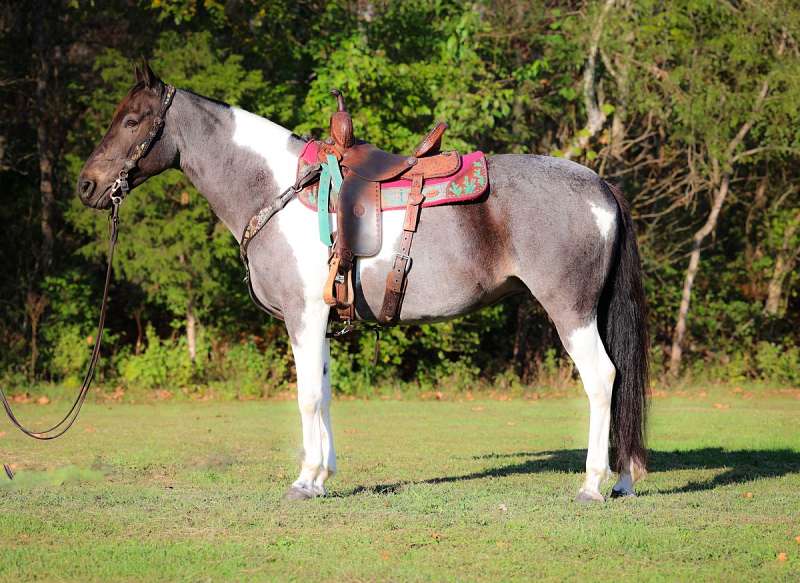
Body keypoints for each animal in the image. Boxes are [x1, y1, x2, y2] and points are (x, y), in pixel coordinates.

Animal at [77, 64, 649, 502]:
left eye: (132, 120)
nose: (87, 185)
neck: (276, 187)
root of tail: (599, 185)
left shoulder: (304, 315)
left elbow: (307, 396)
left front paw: (305, 481)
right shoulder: (323, 319)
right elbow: (325, 393)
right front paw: (322, 476)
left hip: (571, 313)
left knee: (603, 379)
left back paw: (593, 485)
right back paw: (622, 481)